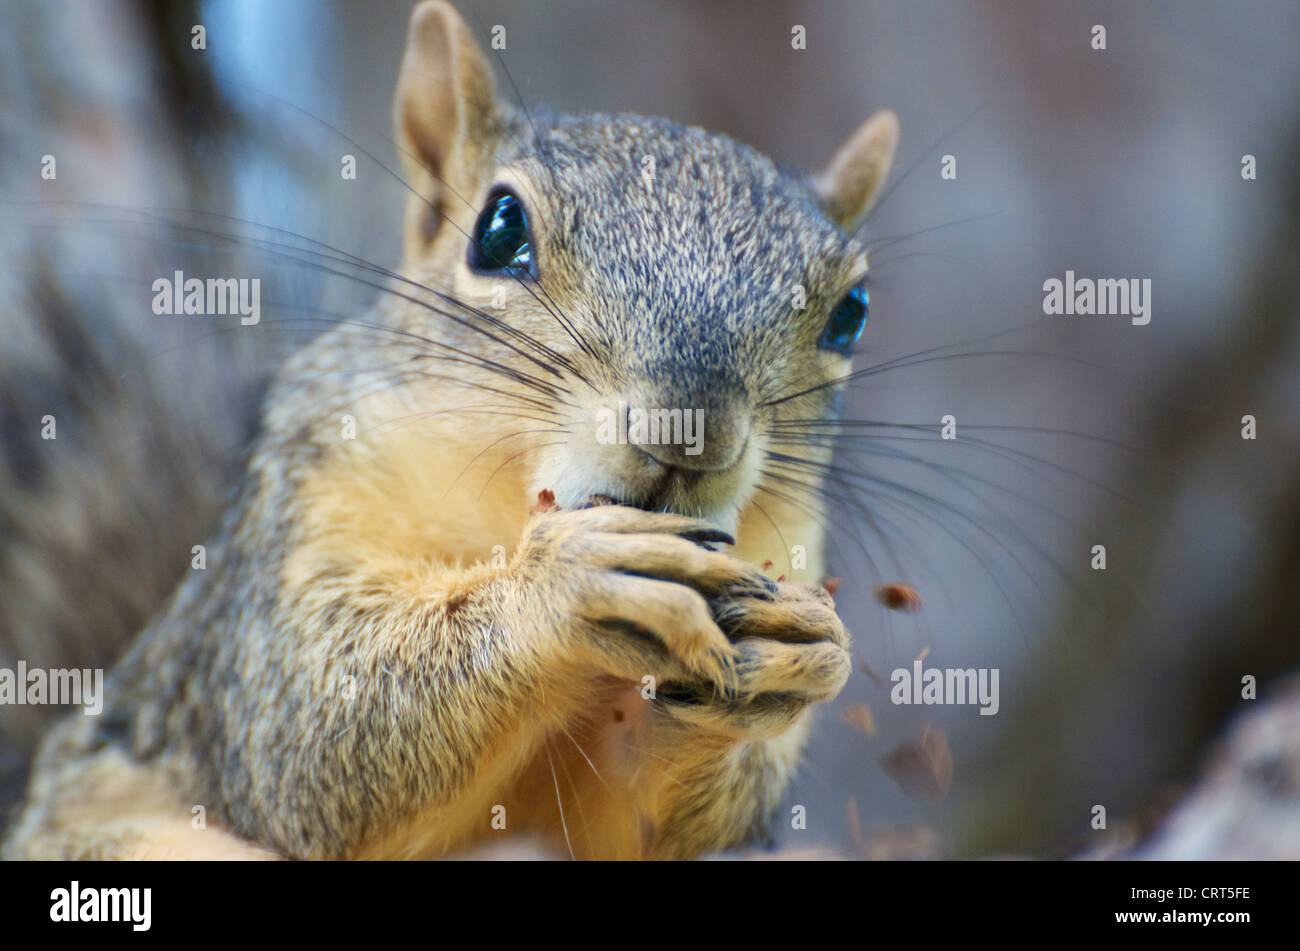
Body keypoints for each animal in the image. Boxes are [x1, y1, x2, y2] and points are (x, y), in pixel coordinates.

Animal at [2, 0, 898, 860]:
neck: (506, 510)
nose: (688, 431)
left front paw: (802, 646)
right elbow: (306, 726)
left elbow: (640, 823)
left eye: (852, 314)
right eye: (499, 230)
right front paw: (563, 583)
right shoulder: (294, 519)